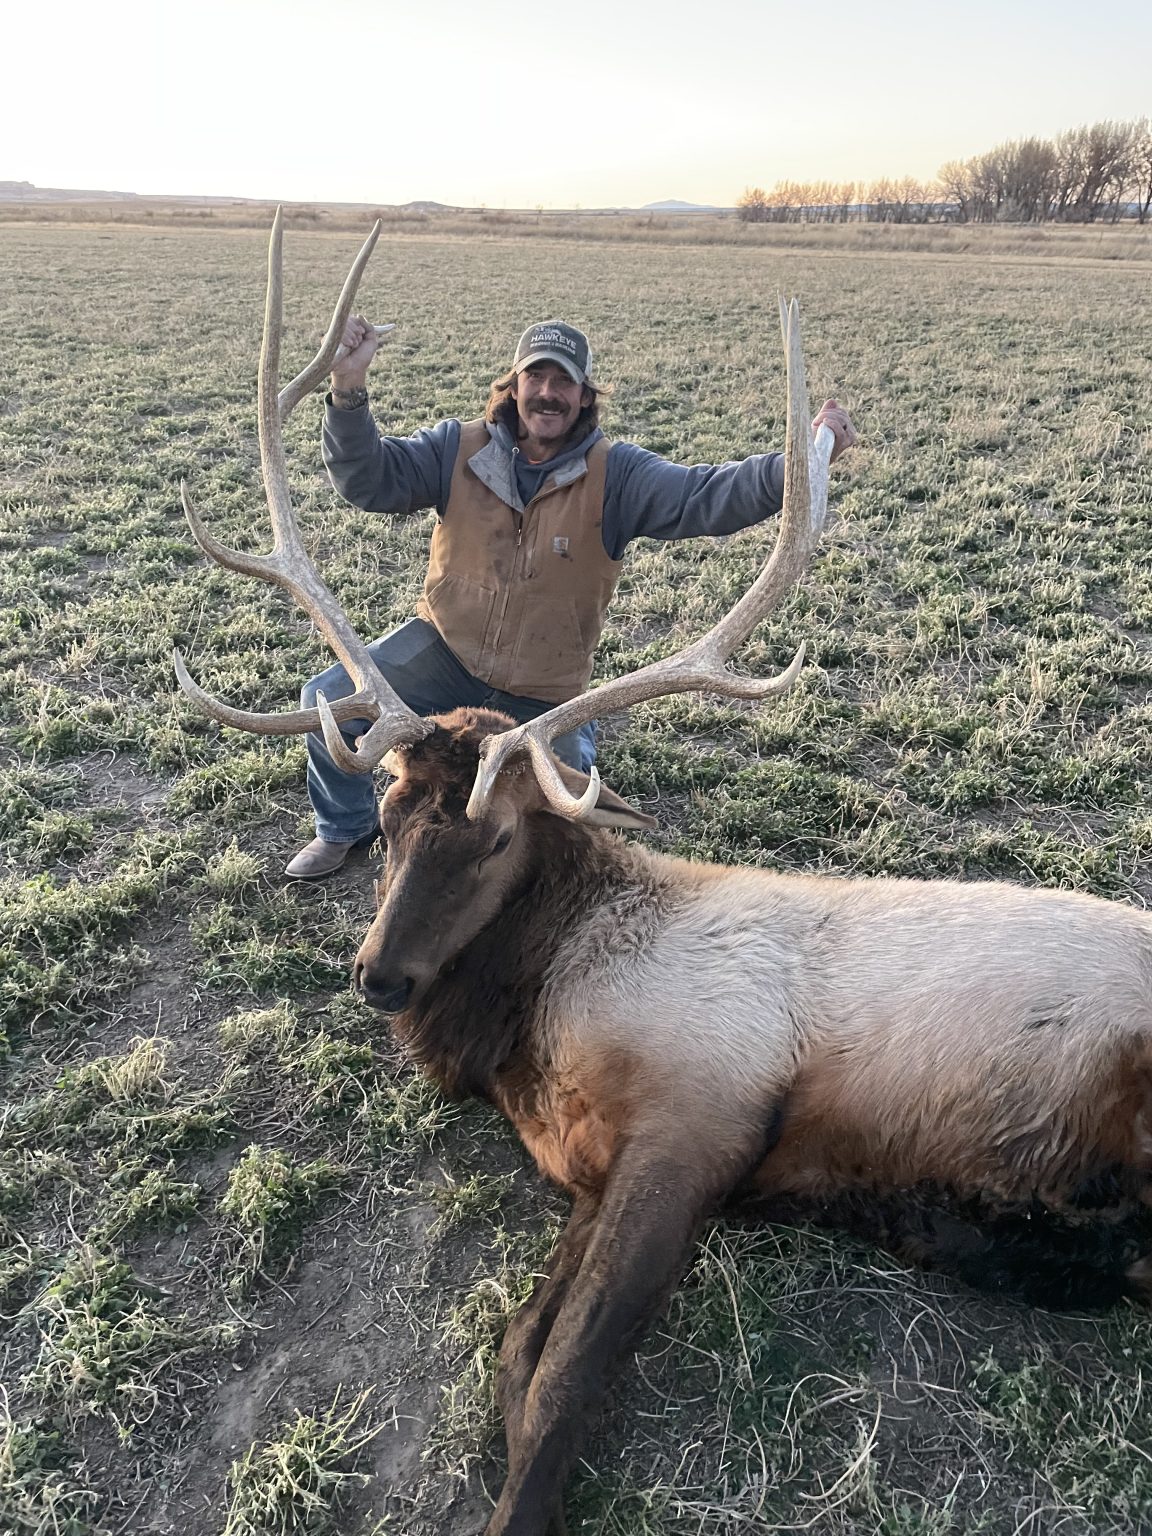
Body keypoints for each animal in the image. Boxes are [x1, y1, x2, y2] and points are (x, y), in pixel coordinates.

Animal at [175, 214, 1152, 1536]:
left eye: (497, 835)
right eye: (384, 812)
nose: (378, 974)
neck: (528, 1027)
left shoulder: (698, 1122)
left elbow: (557, 1383)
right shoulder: (591, 1171)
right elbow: (516, 1358)